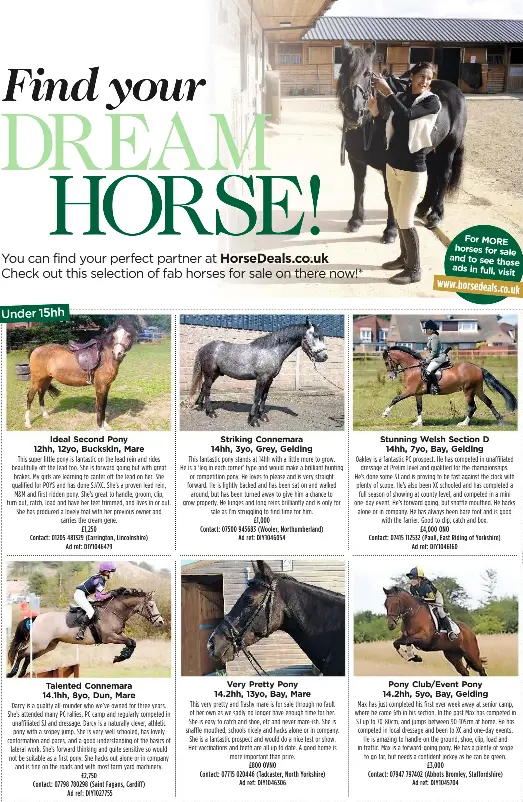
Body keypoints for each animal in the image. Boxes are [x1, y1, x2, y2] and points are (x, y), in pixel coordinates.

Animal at [6, 588, 164, 678]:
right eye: (151, 606)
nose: (161, 622)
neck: (114, 611)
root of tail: (36, 618)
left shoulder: (119, 634)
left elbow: (132, 642)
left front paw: (121, 656)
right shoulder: (110, 637)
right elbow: (130, 642)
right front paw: (120, 657)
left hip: (48, 645)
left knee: (28, 656)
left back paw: (21, 674)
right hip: (40, 643)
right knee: (22, 653)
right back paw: (13, 673)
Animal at [190, 317, 328, 427]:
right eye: (315, 336)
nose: (324, 357)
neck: (271, 350)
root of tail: (204, 347)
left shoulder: (269, 379)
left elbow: (264, 397)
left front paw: (262, 416)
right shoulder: (261, 378)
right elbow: (257, 397)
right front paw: (253, 420)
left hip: (215, 374)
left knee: (203, 388)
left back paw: (201, 407)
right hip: (210, 374)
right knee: (207, 390)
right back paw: (211, 412)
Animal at [336, 45, 467, 241]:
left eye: (367, 73)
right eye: (342, 71)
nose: (353, 112)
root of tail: (455, 91)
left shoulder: (387, 166)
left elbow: (389, 195)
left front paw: (390, 231)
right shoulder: (356, 160)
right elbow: (359, 188)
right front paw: (356, 221)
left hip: (448, 149)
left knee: (444, 176)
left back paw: (435, 215)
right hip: (429, 150)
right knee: (433, 175)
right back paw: (422, 208)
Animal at [382, 345, 517, 427]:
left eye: (387, 362)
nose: (391, 376)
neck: (413, 368)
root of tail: (478, 368)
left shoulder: (410, 391)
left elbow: (395, 399)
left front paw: (385, 414)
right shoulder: (417, 393)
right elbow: (419, 407)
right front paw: (418, 422)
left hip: (468, 390)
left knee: (472, 407)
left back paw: (464, 423)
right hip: (477, 389)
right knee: (488, 402)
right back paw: (500, 420)